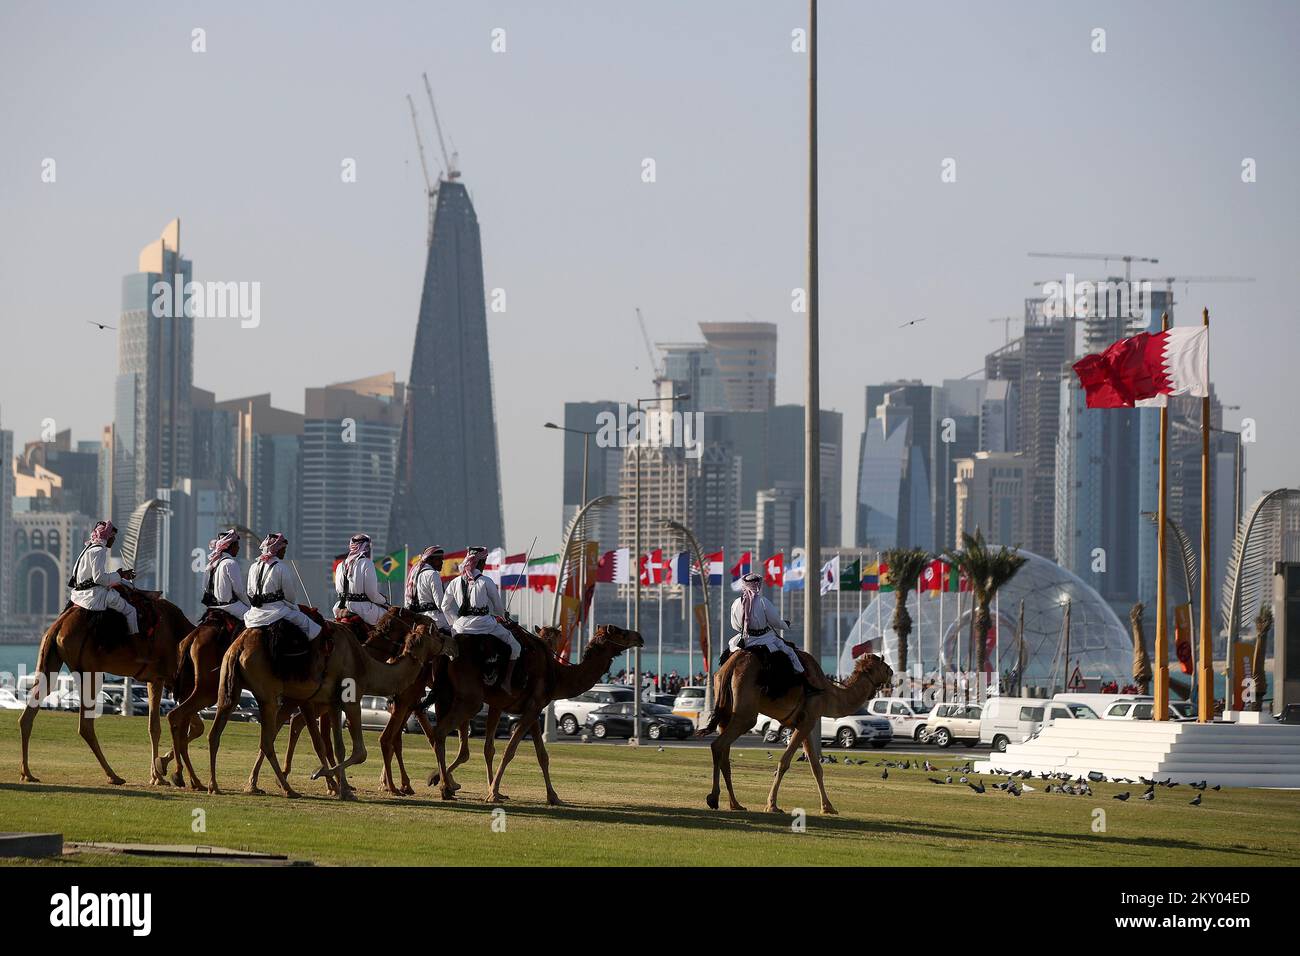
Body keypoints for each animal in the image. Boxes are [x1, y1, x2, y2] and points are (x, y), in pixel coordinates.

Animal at [19, 596, 195, 787]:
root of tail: (57, 626)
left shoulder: (159, 680)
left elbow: (183, 726)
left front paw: (158, 772)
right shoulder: (161, 677)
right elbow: (162, 726)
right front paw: (160, 775)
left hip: (51, 658)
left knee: (30, 711)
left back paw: (27, 773)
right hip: (91, 670)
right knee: (85, 725)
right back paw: (114, 776)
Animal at [206, 616, 444, 799]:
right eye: (436, 634)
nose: (448, 642)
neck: (365, 664)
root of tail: (239, 647)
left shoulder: (331, 702)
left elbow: (336, 747)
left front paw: (342, 788)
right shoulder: (350, 698)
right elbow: (359, 751)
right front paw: (324, 777)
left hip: (230, 688)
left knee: (217, 732)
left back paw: (217, 786)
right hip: (269, 696)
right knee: (267, 740)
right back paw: (287, 789)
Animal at [428, 622, 643, 804]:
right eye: (621, 632)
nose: (639, 636)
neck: (557, 675)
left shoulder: (532, 709)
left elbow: (541, 755)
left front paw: (553, 796)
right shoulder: (532, 708)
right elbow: (509, 751)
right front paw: (493, 793)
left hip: (447, 694)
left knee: (439, 733)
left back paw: (443, 783)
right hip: (471, 700)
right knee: (440, 731)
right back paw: (445, 787)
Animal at [699, 650, 893, 815]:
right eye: (884, 666)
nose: (892, 671)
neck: (828, 693)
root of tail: (731, 665)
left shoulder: (802, 722)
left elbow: (816, 766)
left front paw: (828, 807)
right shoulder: (808, 720)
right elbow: (785, 762)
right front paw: (772, 805)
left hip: (725, 709)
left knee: (724, 754)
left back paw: (735, 804)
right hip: (745, 710)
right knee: (719, 744)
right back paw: (713, 798)